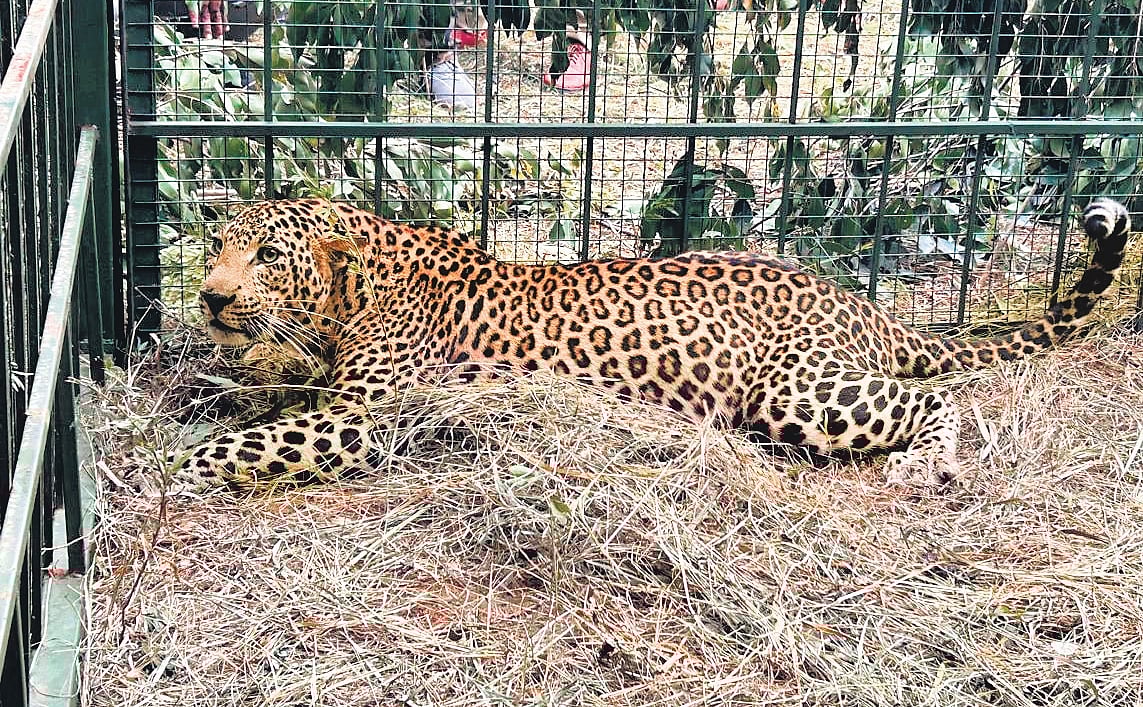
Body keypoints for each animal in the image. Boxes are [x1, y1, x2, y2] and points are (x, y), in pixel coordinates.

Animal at [165, 197, 1130, 491]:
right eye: (217, 244)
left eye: (266, 254)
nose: (210, 296)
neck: (349, 293)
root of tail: (861, 304)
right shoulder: (325, 392)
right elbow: (253, 409)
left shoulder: (363, 419)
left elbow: (230, 449)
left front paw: (146, 476)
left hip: (797, 388)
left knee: (938, 398)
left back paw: (921, 463)